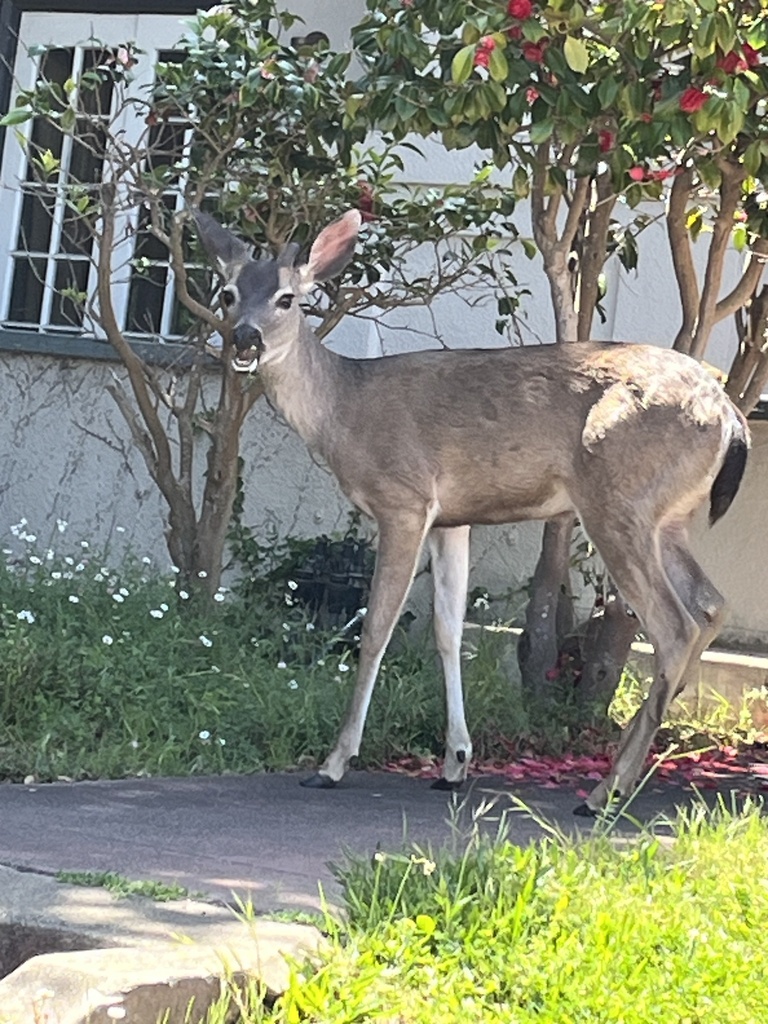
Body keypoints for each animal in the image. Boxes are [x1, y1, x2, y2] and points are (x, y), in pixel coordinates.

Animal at [194, 208, 749, 814]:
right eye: (227, 293)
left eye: (287, 298)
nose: (244, 337)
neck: (345, 411)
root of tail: (728, 412)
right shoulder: (452, 519)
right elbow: (448, 630)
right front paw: (455, 763)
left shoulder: (404, 499)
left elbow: (375, 629)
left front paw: (333, 763)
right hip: (666, 517)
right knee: (710, 605)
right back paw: (632, 768)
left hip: (617, 497)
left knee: (673, 625)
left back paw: (604, 791)